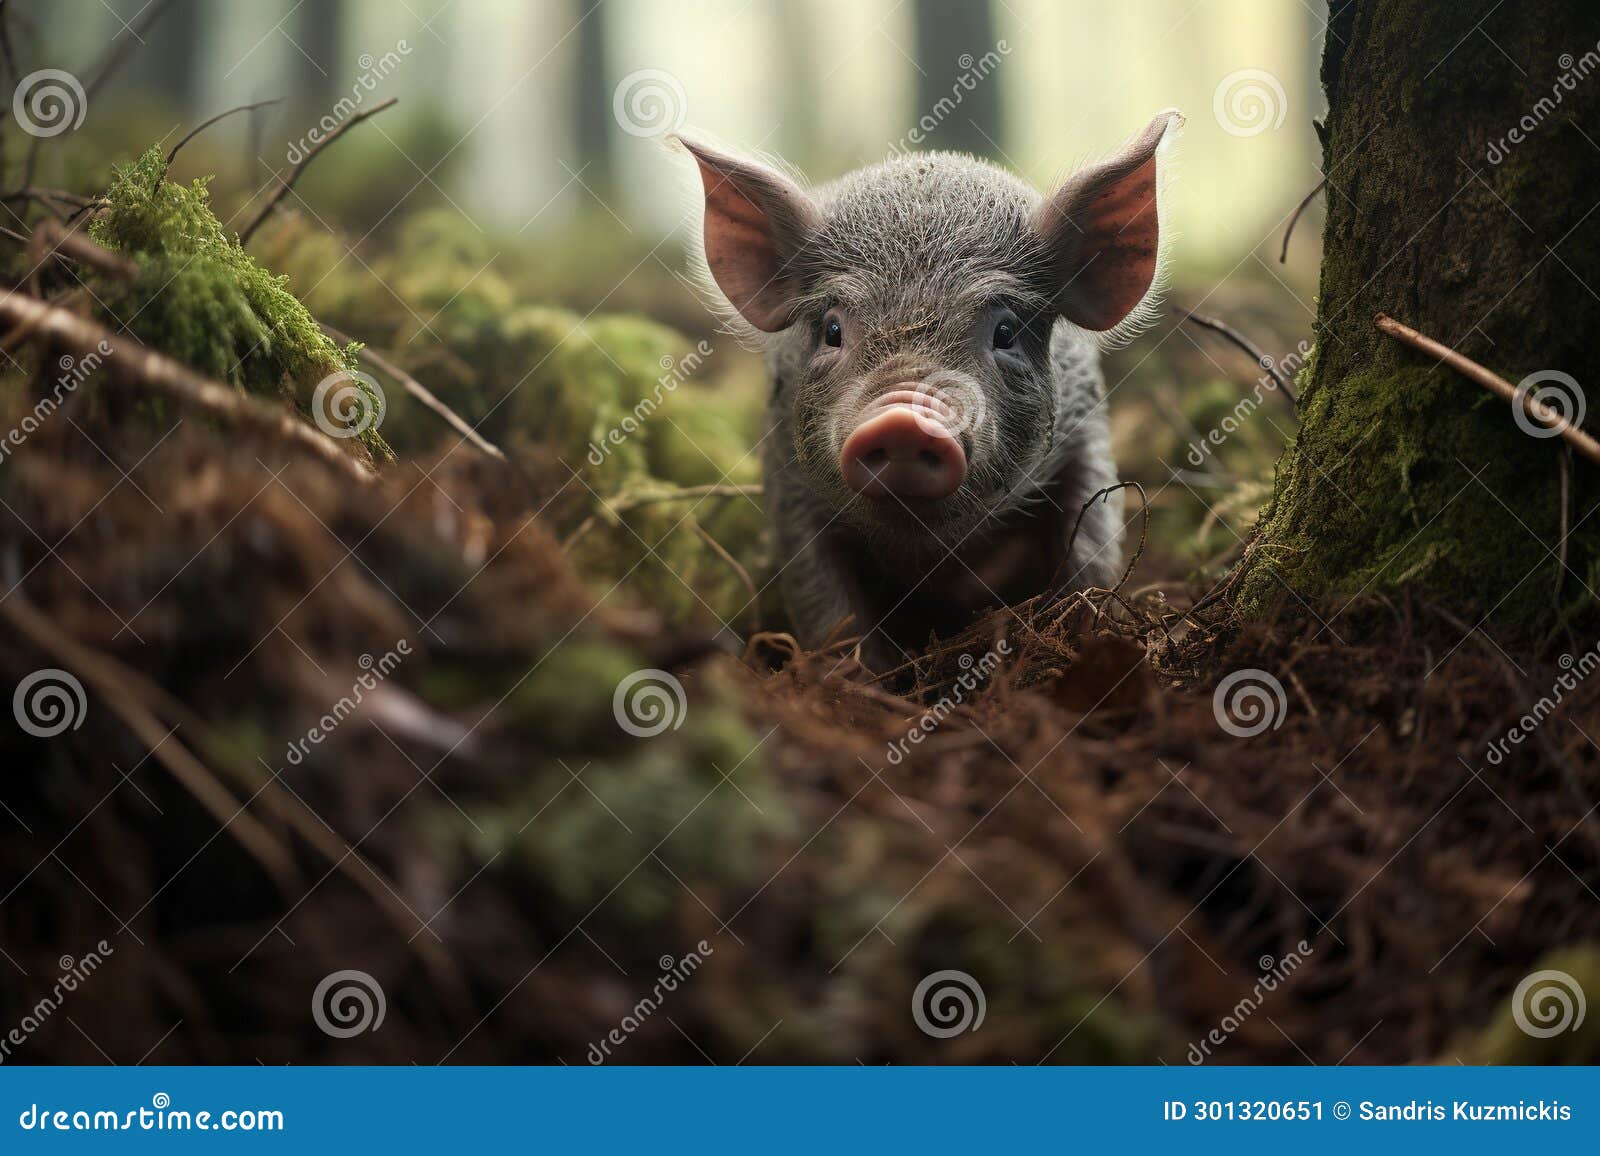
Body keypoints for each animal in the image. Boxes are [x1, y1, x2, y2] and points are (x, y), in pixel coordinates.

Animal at [676, 111, 1180, 670]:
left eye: (1006, 331)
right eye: (832, 330)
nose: (903, 417)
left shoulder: (1087, 436)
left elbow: (1091, 557)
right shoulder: (788, 481)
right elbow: (828, 609)